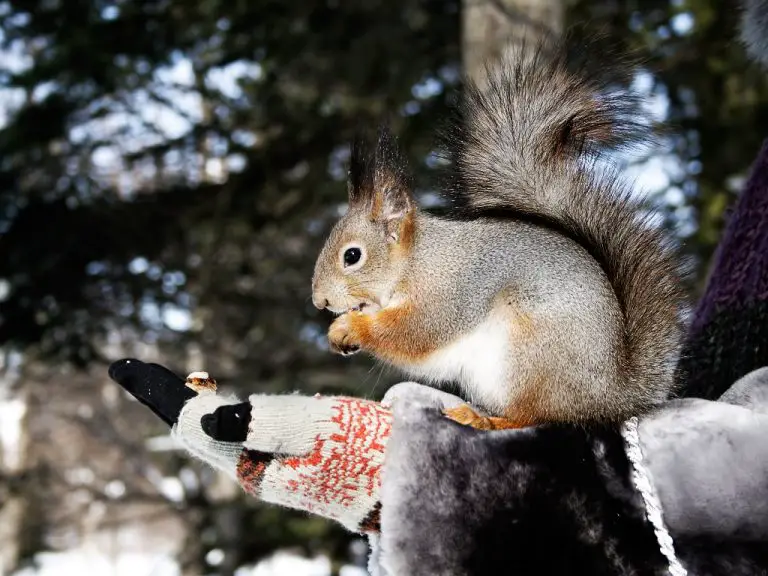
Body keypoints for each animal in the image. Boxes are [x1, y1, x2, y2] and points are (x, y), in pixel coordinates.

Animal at [310, 38, 687, 429]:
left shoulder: (449, 295)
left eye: (352, 256)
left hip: (531, 353)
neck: (416, 262)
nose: (320, 301)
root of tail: (611, 395)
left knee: (532, 416)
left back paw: (485, 421)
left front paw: (350, 327)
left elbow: (414, 332)